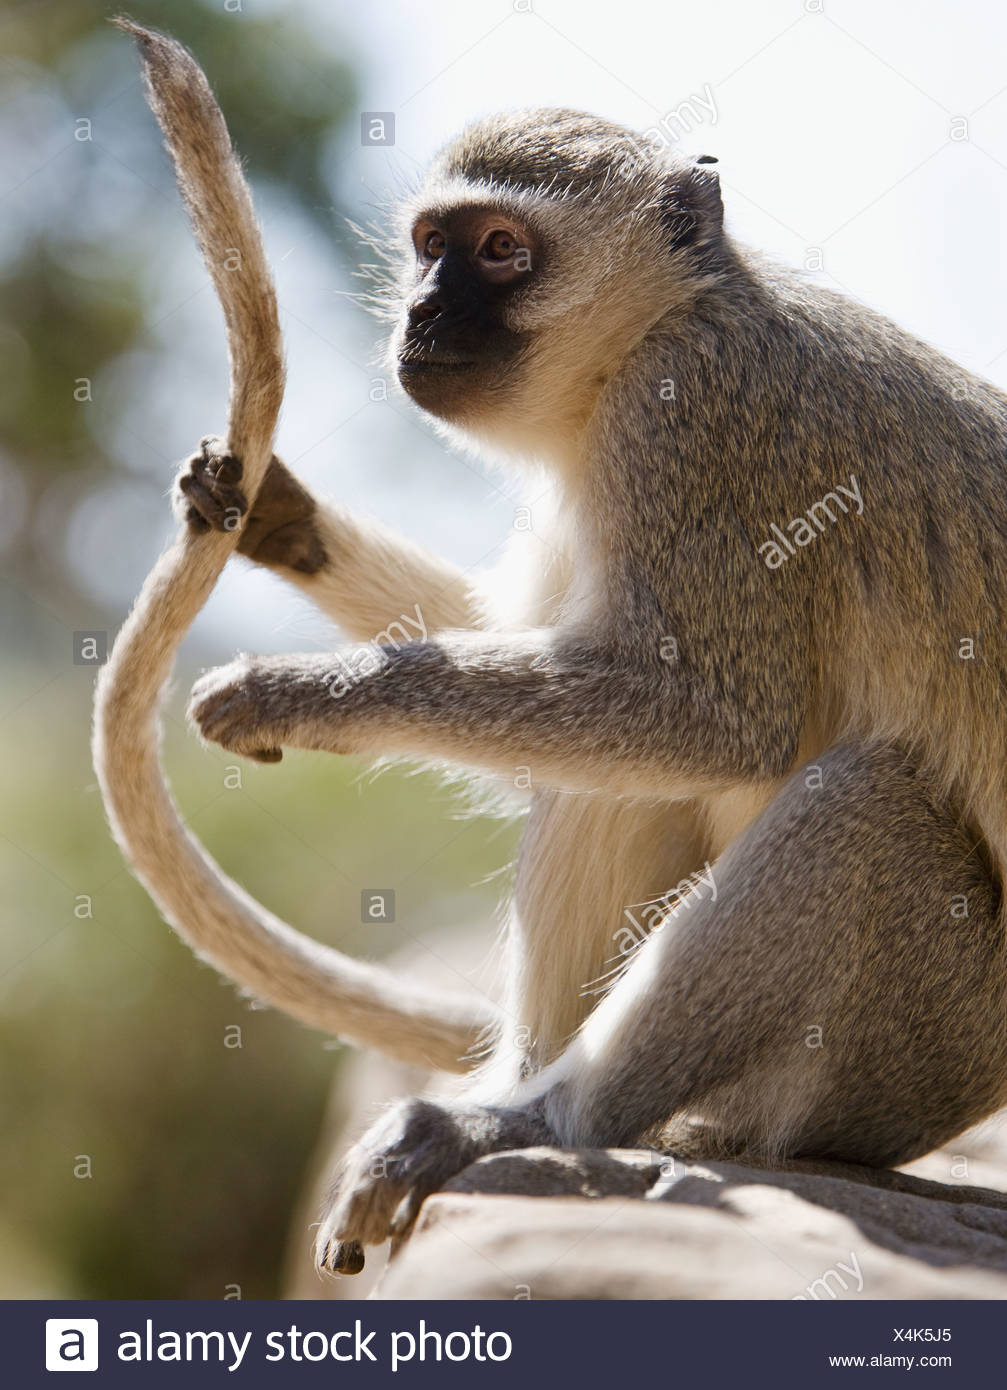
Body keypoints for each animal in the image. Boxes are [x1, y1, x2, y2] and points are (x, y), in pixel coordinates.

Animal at [97, 34, 1007, 1283]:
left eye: (499, 249)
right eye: (432, 245)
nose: (423, 313)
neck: (658, 325)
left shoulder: (689, 423)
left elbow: (718, 717)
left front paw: (309, 692)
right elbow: (537, 634)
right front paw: (275, 514)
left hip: (907, 1050)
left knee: (850, 806)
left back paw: (530, 1117)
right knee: (611, 775)